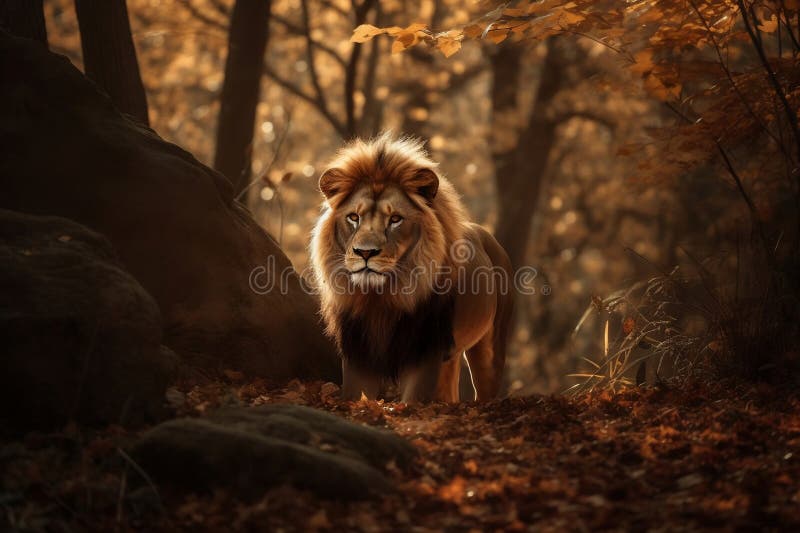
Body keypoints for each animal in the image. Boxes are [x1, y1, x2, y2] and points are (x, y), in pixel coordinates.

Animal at [310, 133, 514, 402]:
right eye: (353, 217)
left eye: (395, 219)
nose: (365, 252)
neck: (380, 298)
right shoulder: (358, 351)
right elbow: (357, 395)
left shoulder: (425, 350)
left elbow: (413, 400)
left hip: (490, 344)